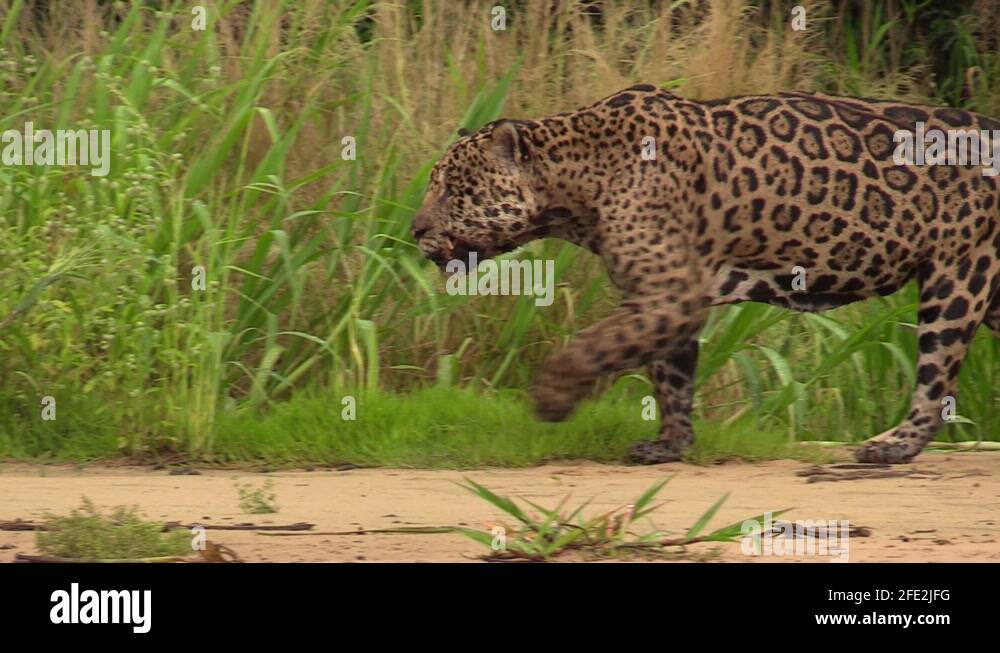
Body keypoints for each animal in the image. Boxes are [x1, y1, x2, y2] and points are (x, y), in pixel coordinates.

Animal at [410, 84, 1000, 465]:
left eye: (452, 189)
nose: (414, 229)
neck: (575, 182)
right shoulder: (663, 299)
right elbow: (670, 377)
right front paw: (670, 445)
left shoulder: (668, 294)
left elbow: (595, 345)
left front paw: (552, 397)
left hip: (957, 278)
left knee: (935, 383)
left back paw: (889, 447)